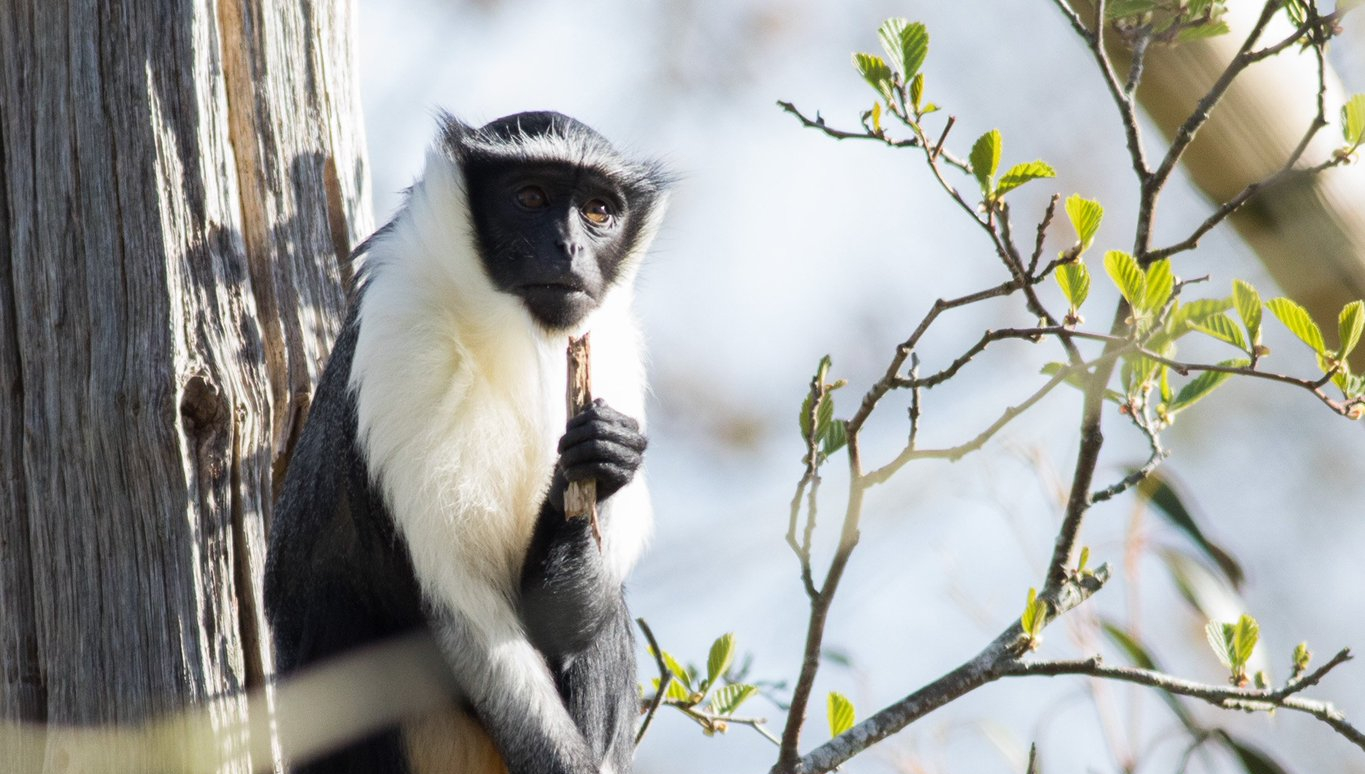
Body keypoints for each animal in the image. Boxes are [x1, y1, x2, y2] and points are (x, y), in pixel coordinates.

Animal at [264, 110, 670, 774]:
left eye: (598, 210)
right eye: (530, 197)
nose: (570, 247)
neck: (515, 329)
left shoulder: (609, 346)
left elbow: (559, 621)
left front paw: (601, 460)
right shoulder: (402, 332)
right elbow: (467, 615)